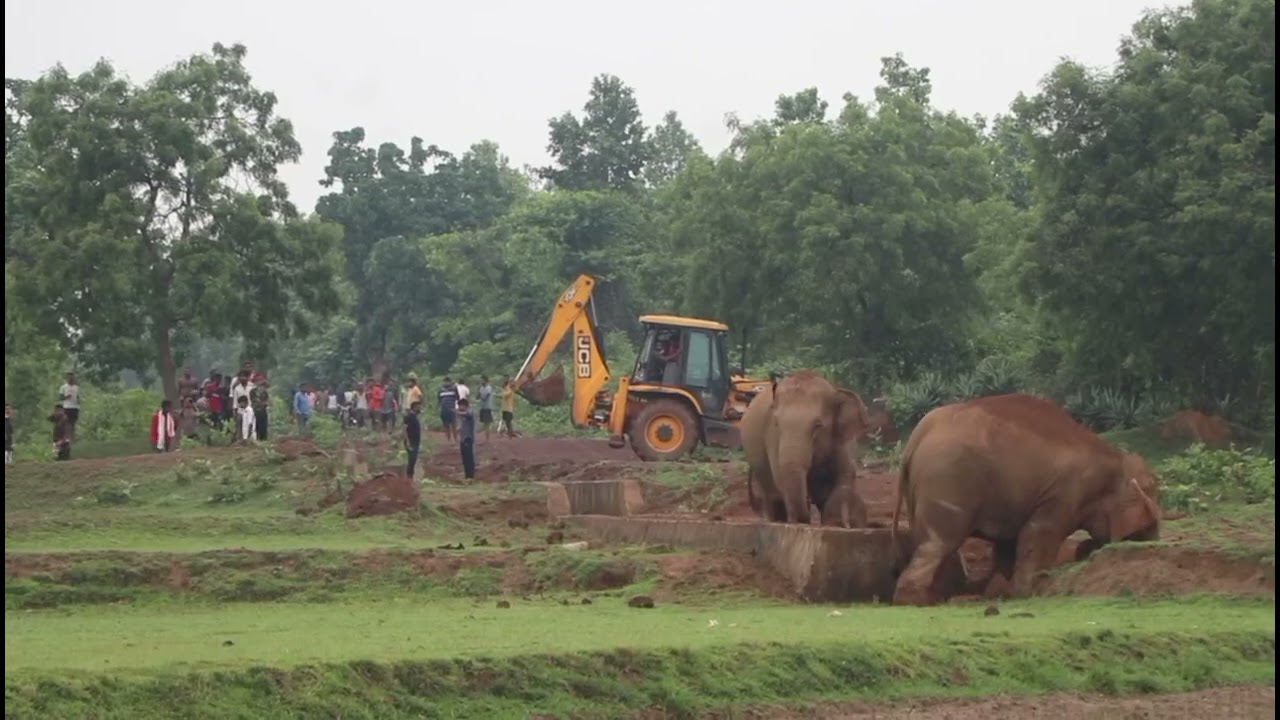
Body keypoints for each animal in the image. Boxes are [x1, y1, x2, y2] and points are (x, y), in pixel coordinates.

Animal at [741, 370, 872, 525]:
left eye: (818, 425)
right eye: (777, 423)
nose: (805, 517)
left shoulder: (842, 439)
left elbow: (847, 472)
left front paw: (836, 521)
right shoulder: (771, 436)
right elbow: (780, 476)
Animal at [890, 393, 1162, 605]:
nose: (1086, 550)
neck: (1114, 457)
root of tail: (917, 436)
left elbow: (1008, 544)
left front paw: (1000, 591)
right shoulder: (1065, 492)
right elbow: (1038, 534)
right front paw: (1030, 591)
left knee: (927, 540)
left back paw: (935, 598)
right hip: (948, 482)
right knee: (939, 542)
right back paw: (913, 601)